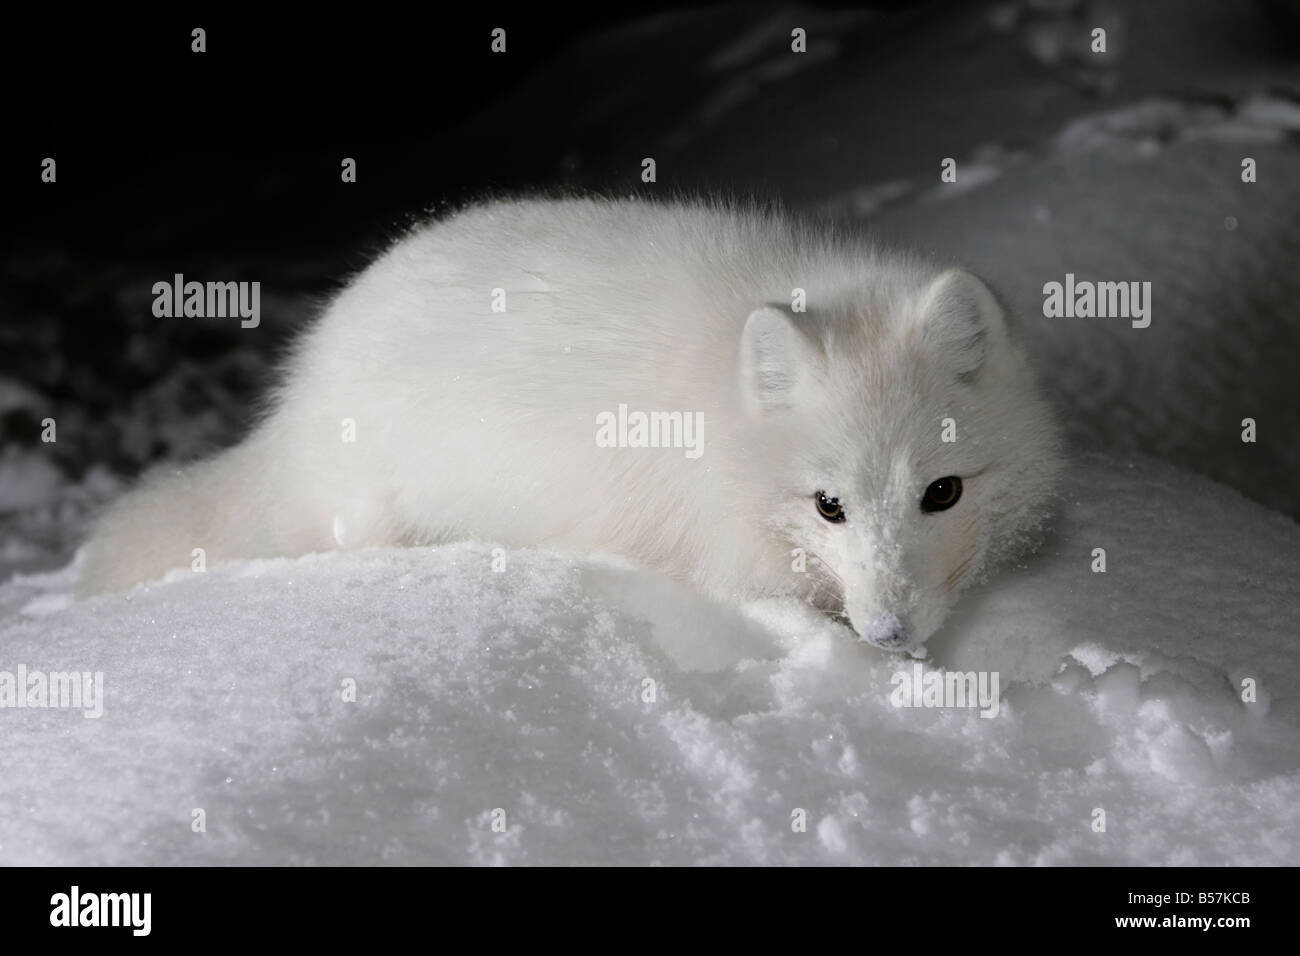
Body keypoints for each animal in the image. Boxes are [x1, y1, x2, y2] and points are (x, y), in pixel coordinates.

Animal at [81, 196, 1061, 651]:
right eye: (829, 507)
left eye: (943, 492)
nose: (891, 635)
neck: (721, 424)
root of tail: (300, 389)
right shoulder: (735, 565)